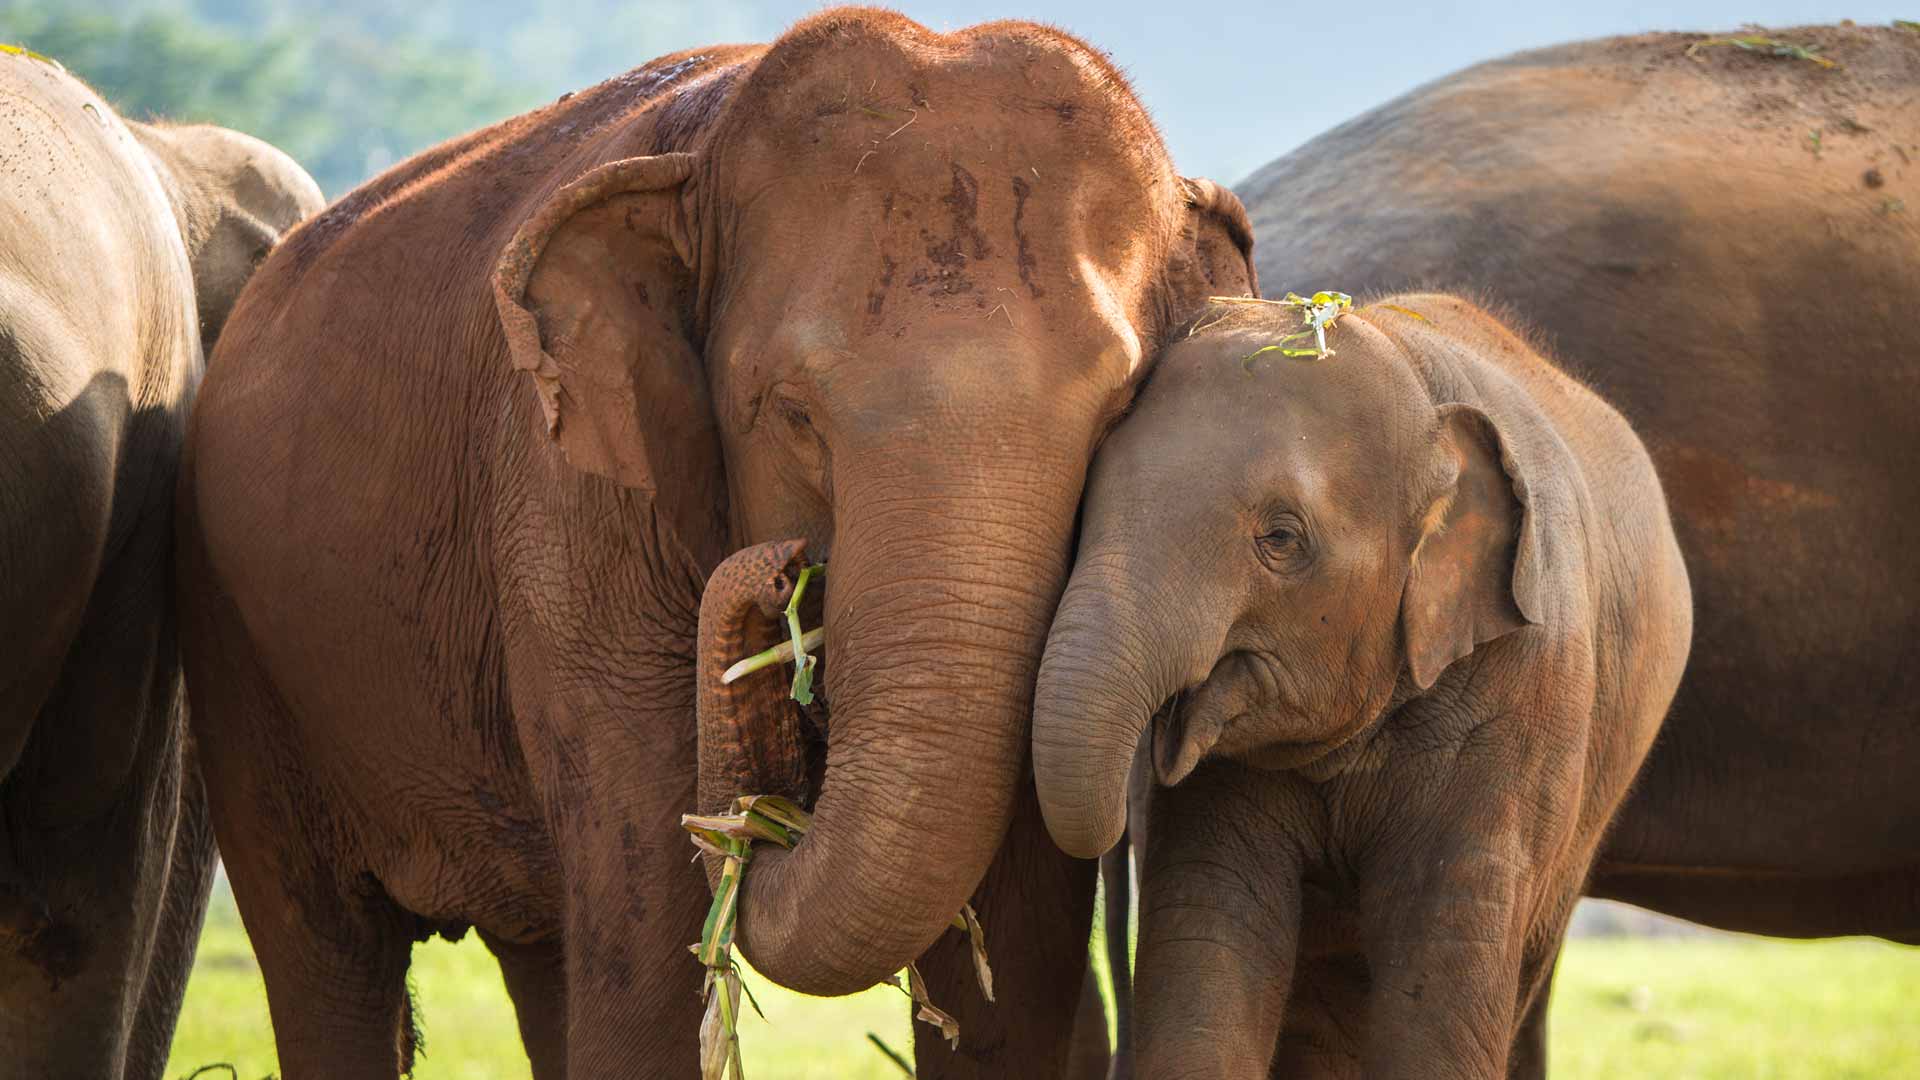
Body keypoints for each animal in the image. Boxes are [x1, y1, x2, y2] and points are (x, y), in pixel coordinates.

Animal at [175, 8, 1256, 1077]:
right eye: (792, 413)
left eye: (1118, 410)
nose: (779, 574)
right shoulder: (569, 515)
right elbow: (648, 929)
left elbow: (1018, 949)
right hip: (243, 655)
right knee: (325, 953)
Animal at [1031, 293, 1692, 1077]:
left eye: (1281, 539)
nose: (1153, 752)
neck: (1414, 370)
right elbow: (1209, 932)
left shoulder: (1526, 696)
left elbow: (1444, 965)